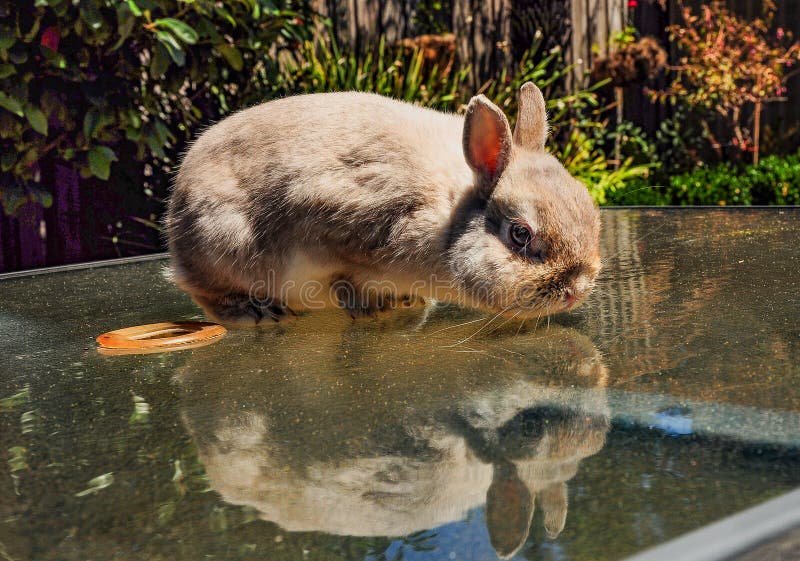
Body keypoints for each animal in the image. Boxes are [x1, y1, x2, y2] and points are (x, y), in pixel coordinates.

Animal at [165, 82, 601, 325]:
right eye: (520, 234)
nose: (577, 291)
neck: (449, 216)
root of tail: (176, 211)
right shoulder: (335, 228)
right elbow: (344, 280)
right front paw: (369, 309)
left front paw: (408, 303)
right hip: (226, 246)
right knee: (206, 293)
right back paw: (257, 314)